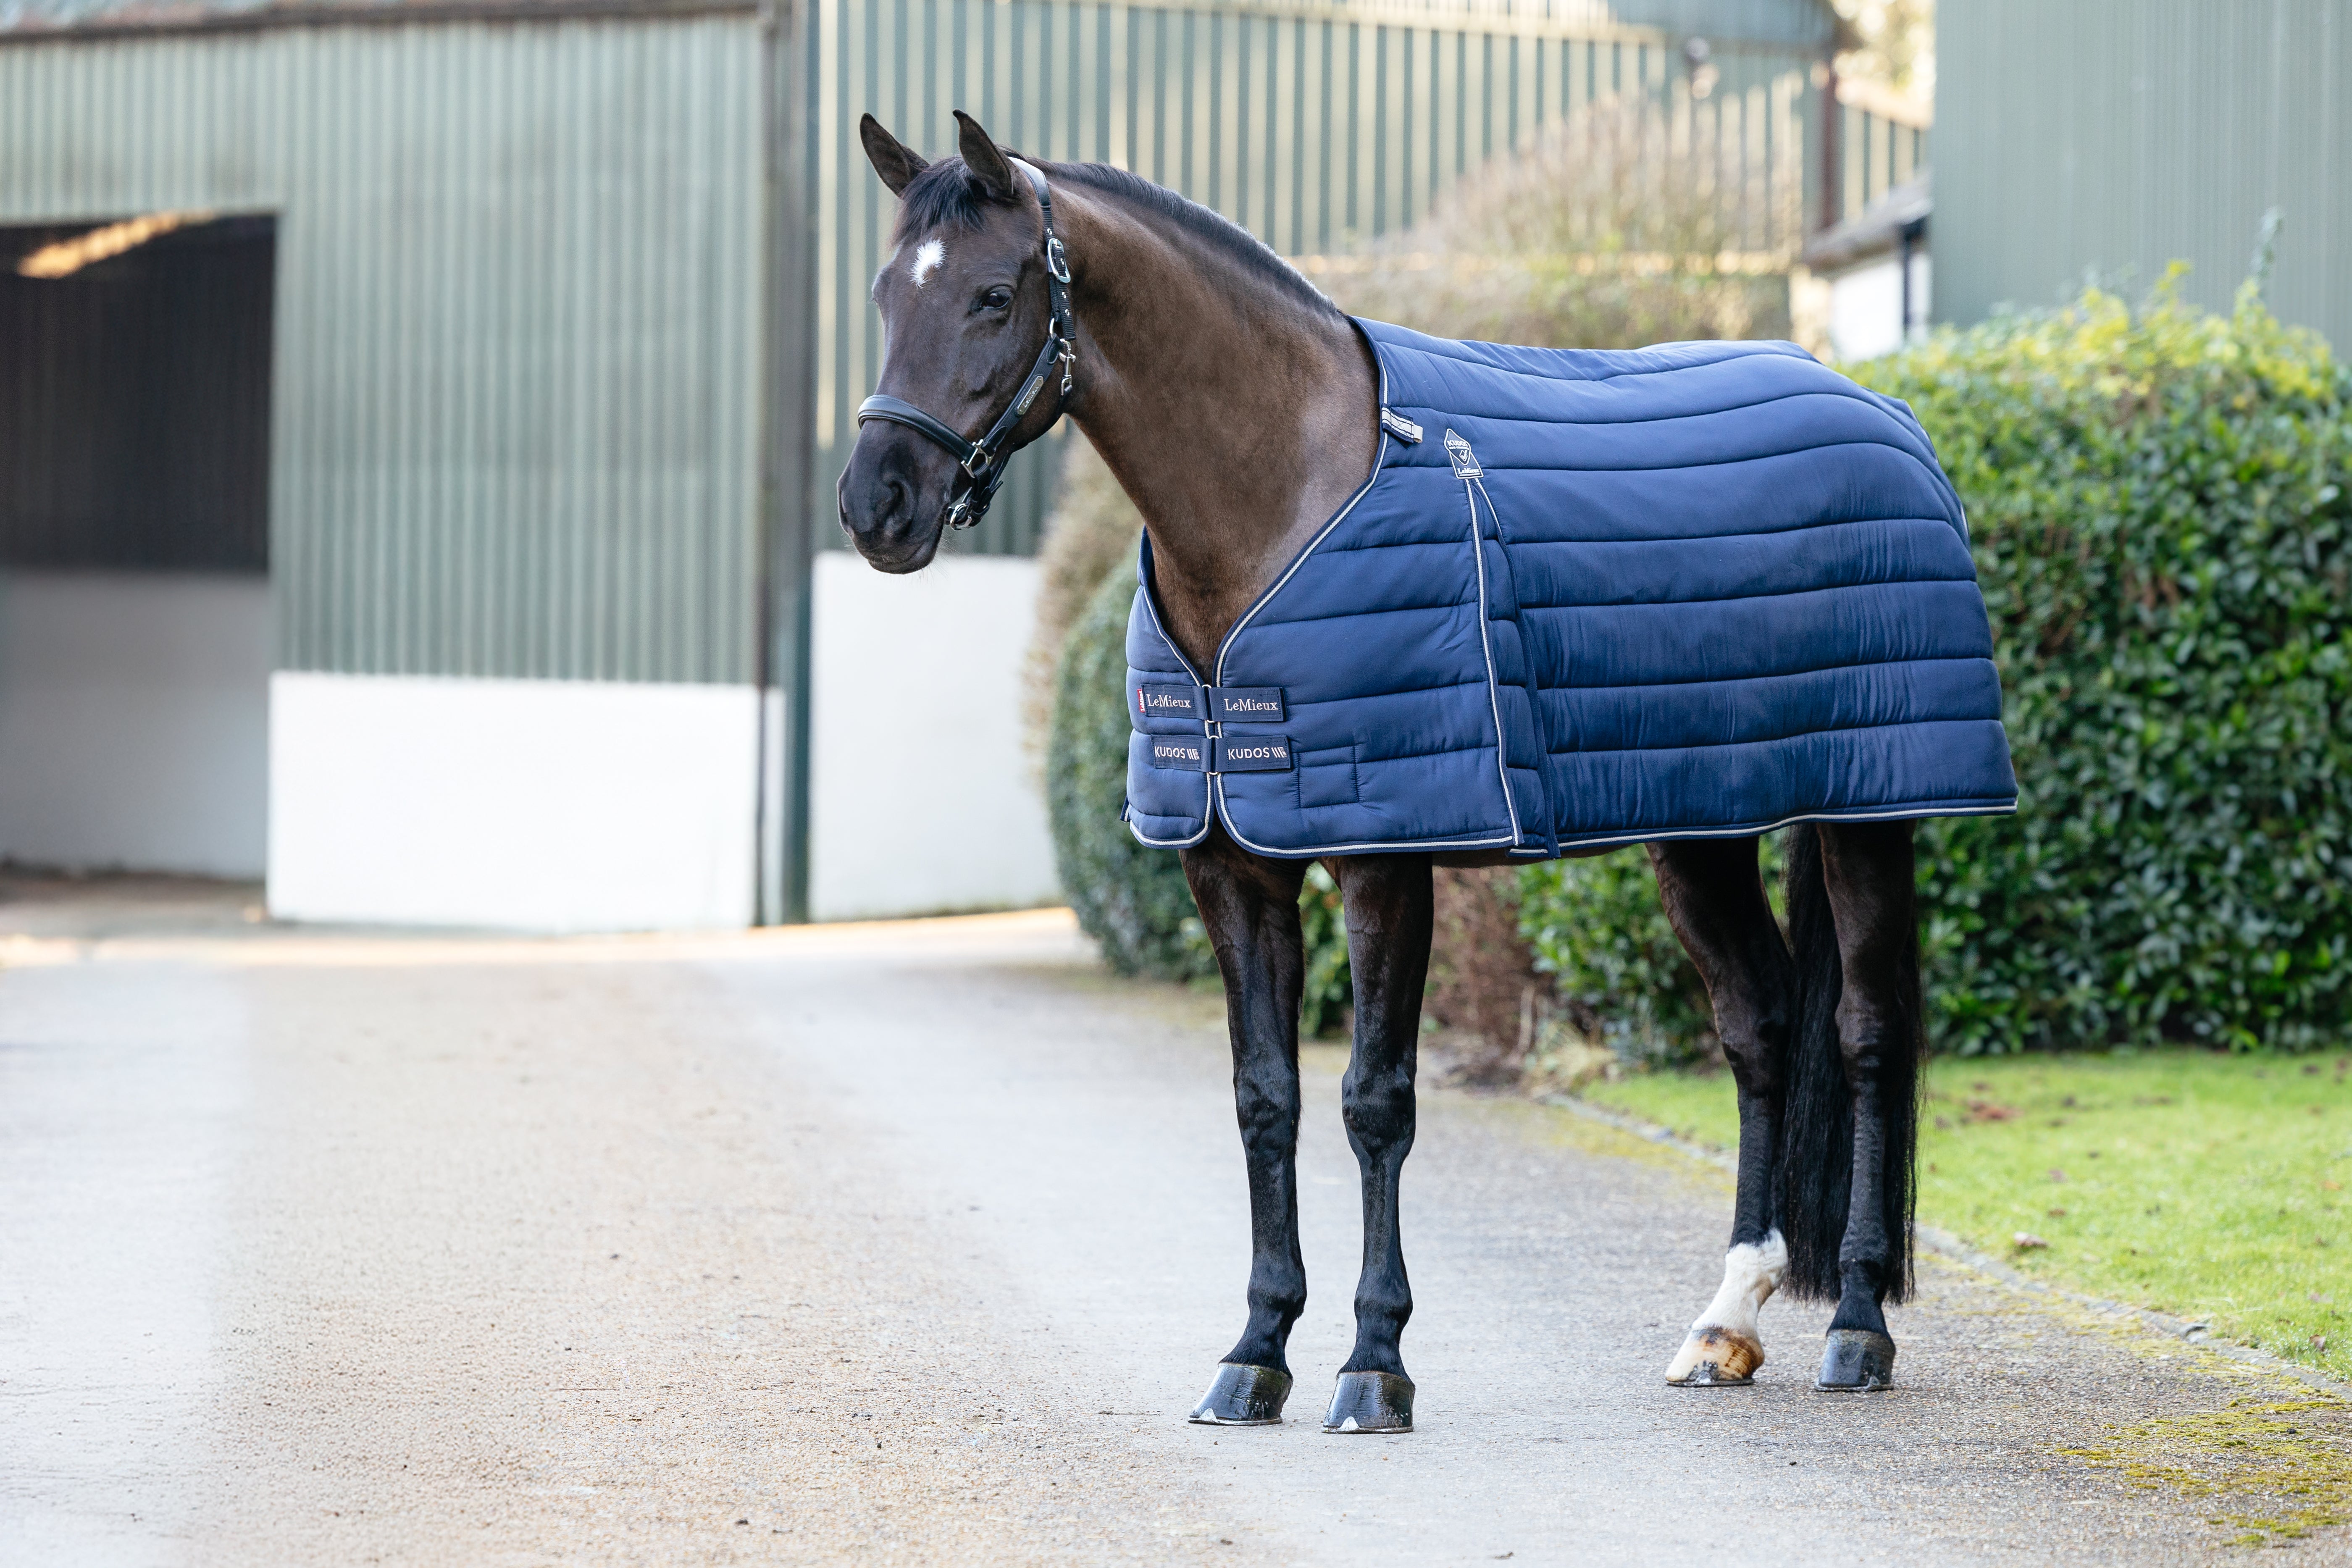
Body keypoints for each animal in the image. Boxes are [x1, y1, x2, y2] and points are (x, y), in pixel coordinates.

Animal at [838, 110, 1984, 1431]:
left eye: (990, 293)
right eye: (885, 292)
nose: (875, 505)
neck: (1283, 492)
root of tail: (1880, 408)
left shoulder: (1382, 862)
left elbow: (1372, 1101)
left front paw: (1370, 1363)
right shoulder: (1231, 866)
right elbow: (1264, 1098)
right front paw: (1253, 1352)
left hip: (1870, 811)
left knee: (1862, 1033)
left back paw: (1854, 1324)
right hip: (1697, 829)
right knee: (1757, 1026)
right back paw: (1723, 1320)